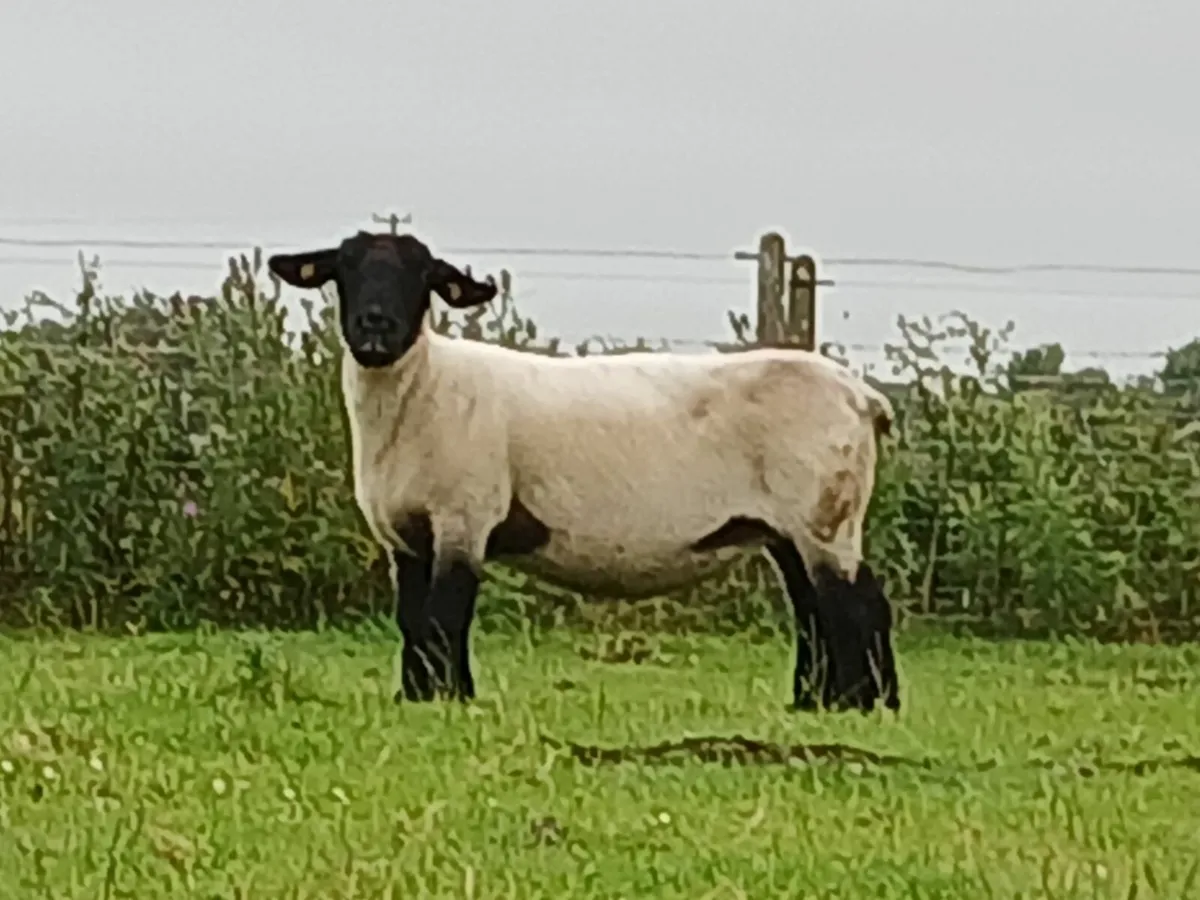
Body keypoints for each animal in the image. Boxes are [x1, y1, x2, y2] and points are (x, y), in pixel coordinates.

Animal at [265, 234, 902, 720]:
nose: (375, 325)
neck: (422, 391)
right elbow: (413, 620)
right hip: (791, 529)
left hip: (826, 513)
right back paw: (817, 704)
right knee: (817, 610)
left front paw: (451, 699)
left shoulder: (464, 517)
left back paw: (864, 705)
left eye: (420, 276)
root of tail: (862, 396)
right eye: (344, 269)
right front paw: (418, 697)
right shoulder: (406, 537)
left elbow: (445, 615)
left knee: (857, 605)